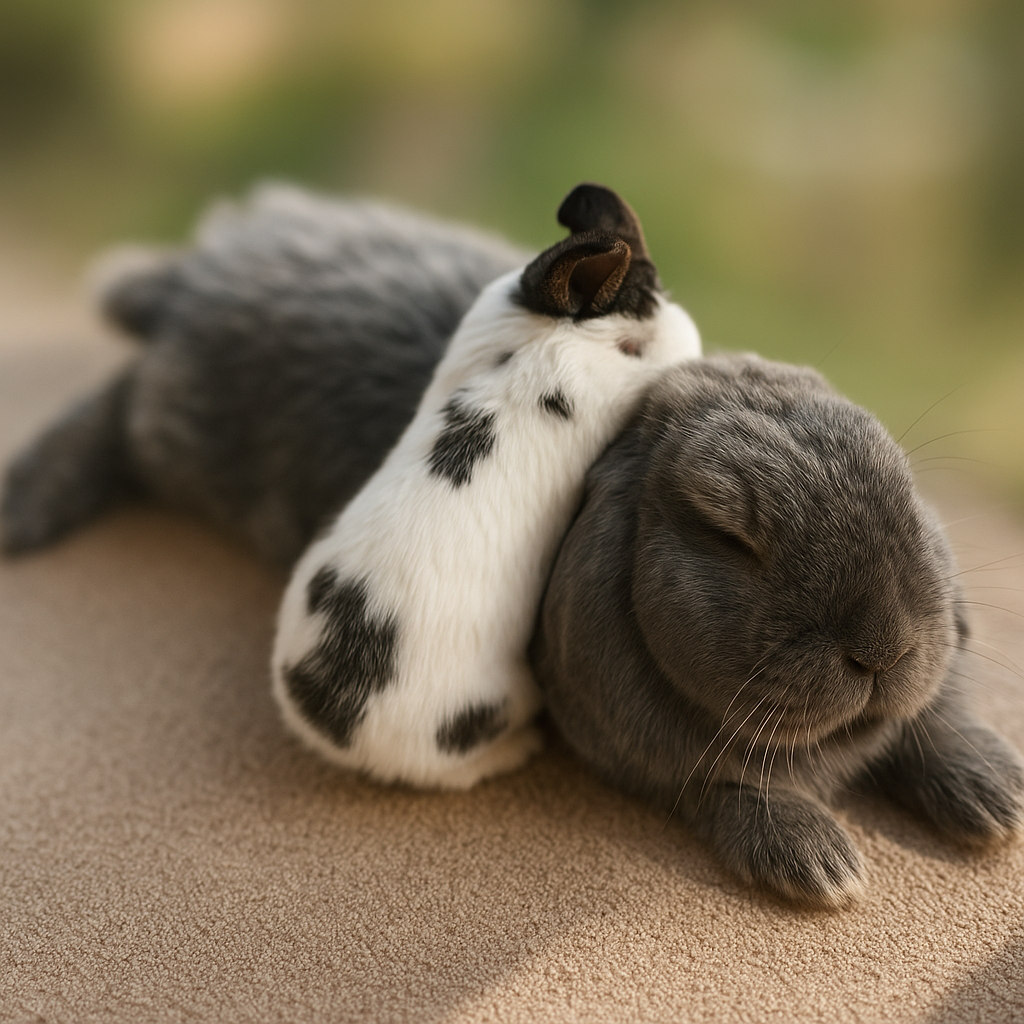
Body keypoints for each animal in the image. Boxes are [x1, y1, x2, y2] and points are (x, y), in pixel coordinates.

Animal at [270, 183, 703, 789]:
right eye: (634, 343)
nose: (694, 343)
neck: (536, 340)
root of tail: (340, 736)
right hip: (501, 702)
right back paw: (520, 748)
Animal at [530, 354, 1024, 908]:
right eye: (726, 534)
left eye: (907, 490)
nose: (883, 650)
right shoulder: (657, 761)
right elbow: (721, 784)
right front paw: (821, 865)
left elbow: (932, 719)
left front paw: (1000, 795)